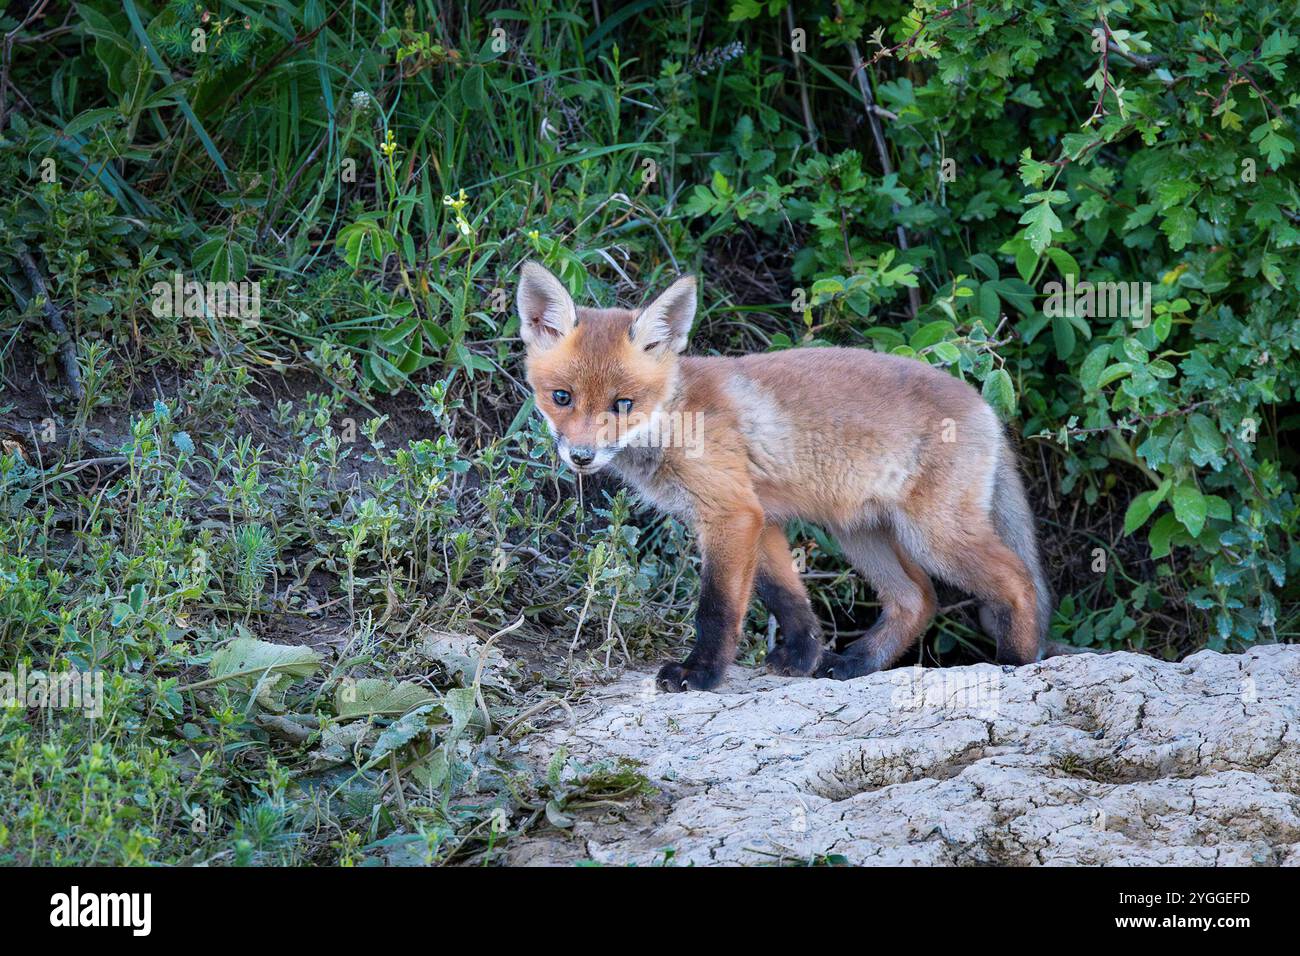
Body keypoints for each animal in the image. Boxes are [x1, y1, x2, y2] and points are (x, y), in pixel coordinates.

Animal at [516, 260, 1052, 692]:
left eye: (623, 404)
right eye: (562, 397)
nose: (581, 457)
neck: (677, 418)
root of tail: (985, 404)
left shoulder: (732, 514)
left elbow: (718, 608)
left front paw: (700, 674)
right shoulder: (761, 517)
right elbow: (787, 598)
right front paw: (801, 657)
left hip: (932, 535)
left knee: (1017, 580)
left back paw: (1014, 663)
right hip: (860, 531)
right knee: (917, 598)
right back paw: (855, 663)